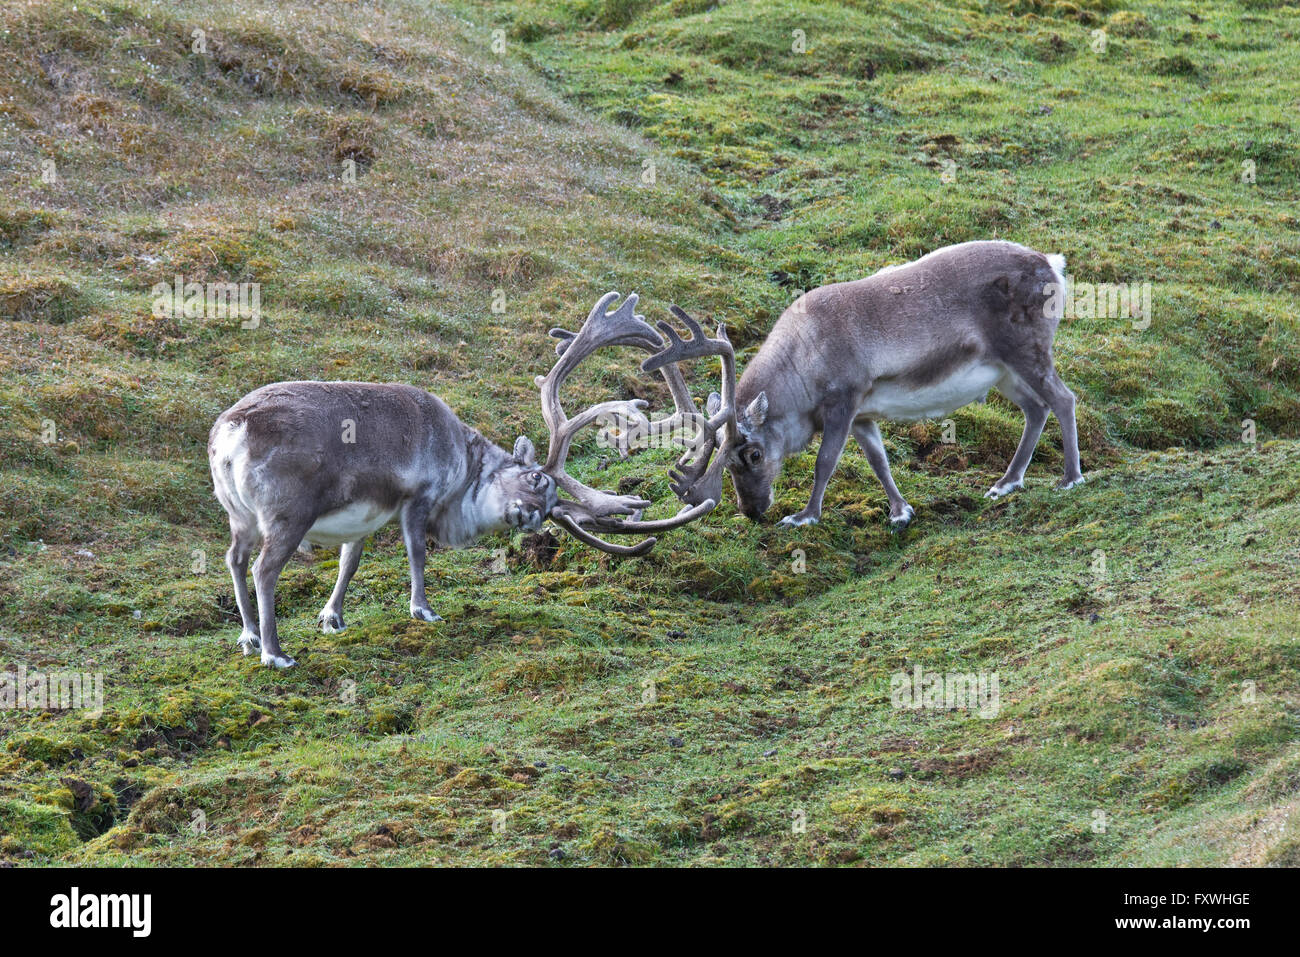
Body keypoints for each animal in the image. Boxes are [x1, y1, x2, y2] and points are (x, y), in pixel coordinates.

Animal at [208, 293, 735, 667]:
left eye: (551, 512)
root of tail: (232, 429)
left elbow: (349, 562)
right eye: (537, 478)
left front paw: (332, 617)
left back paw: (249, 635)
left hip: (239, 515)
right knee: (264, 569)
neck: (463, 464)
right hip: (288, 513)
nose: (527, 516)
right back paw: (275, 652)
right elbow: (417, 553)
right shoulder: (417, 497)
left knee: (235, 559)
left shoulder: (364, 516)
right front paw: (423, 609)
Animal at [663, 240, 1086, 528]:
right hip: (1003, 372)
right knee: (1036, 408)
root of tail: (1052, 264)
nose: (751, 510)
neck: (802, 362)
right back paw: (1006, 482)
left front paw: (805, 516)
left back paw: (1070, 478)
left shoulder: (843, 401)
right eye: (728, 461)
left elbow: (824, 462)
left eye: (753, 454)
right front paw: (901, 511)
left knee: (1063, 399)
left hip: (1026, 352)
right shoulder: (863, 415)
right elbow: (878, 462)